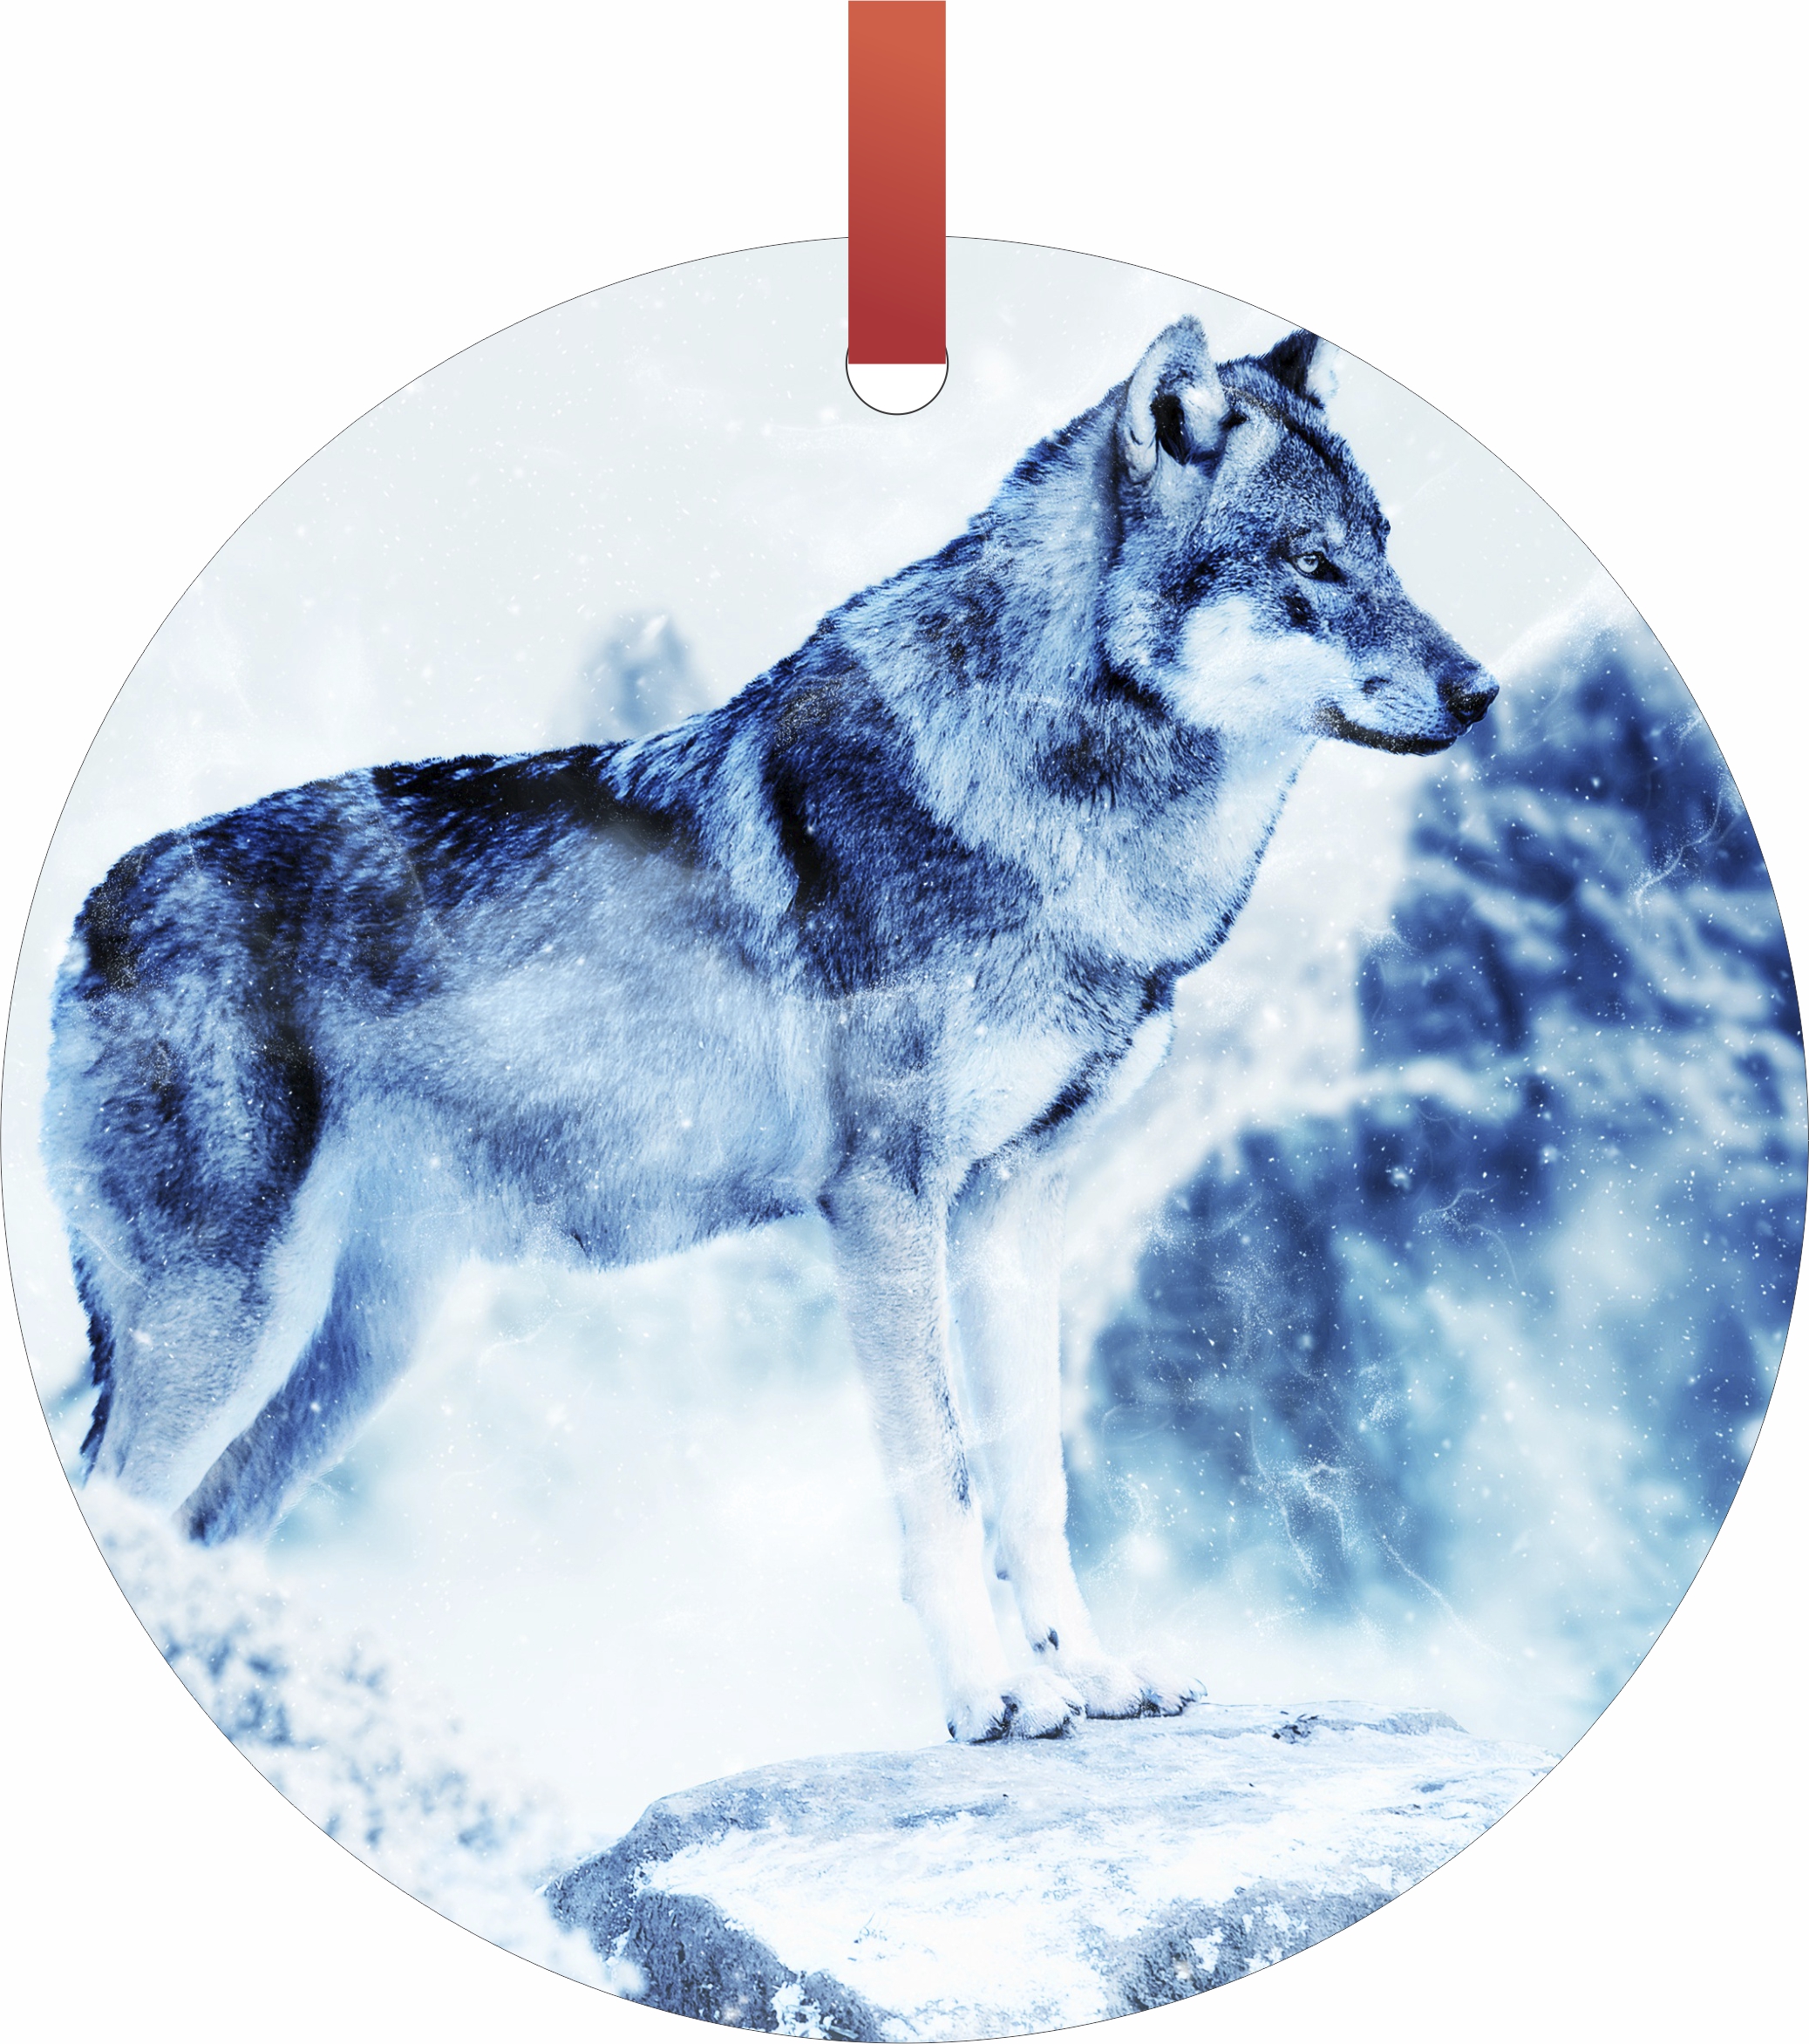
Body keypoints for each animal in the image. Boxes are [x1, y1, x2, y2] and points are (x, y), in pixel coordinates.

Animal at [46, 319, 1495, 1742]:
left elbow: (1034, 1483)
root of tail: (89, 908)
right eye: (1310, 562)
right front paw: (991, 1700)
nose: (1481, 688)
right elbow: (942, 1480)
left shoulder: (1013, 1200)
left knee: (204, 1528)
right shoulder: (885, 1201)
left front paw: (1090, 1674)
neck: (1039, 816)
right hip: (231, 1329)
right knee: (125, 1507)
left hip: (353, 1351)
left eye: (1384, 547)